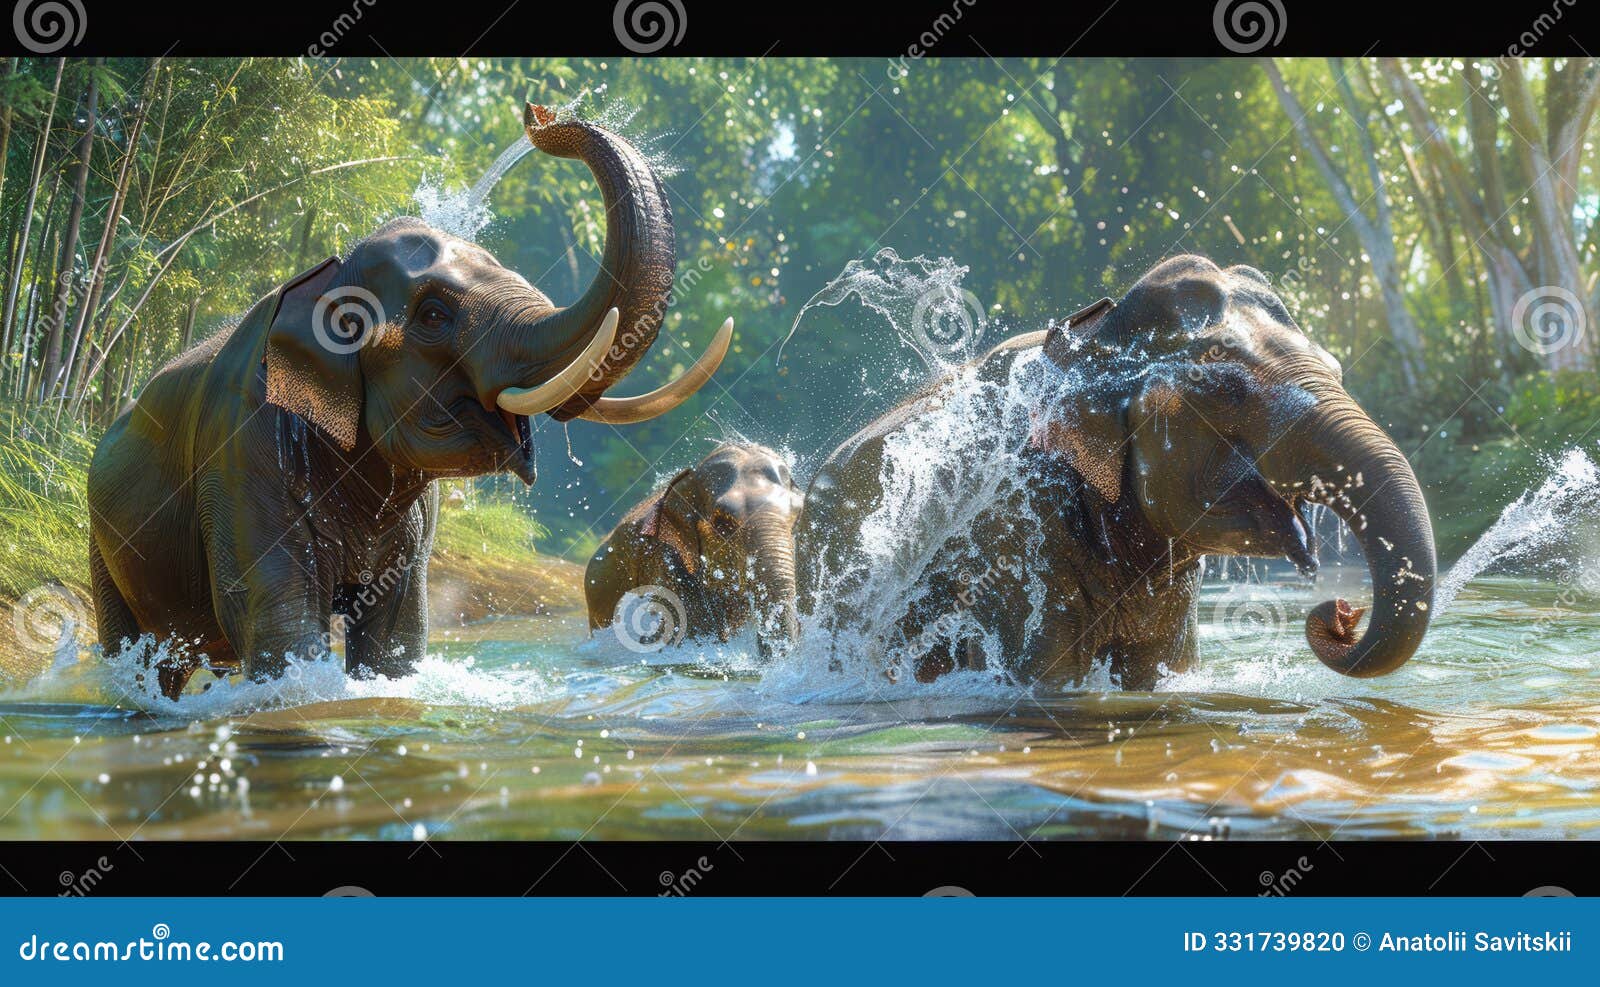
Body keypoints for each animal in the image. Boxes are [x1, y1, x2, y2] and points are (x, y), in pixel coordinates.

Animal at [86, 102, 733, 698]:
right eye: (435, 315)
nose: (538, 115)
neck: (327, 274)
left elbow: (397, 630)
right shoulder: (242, 448)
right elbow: (279, 618)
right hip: (102, 540)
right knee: (142, 653)